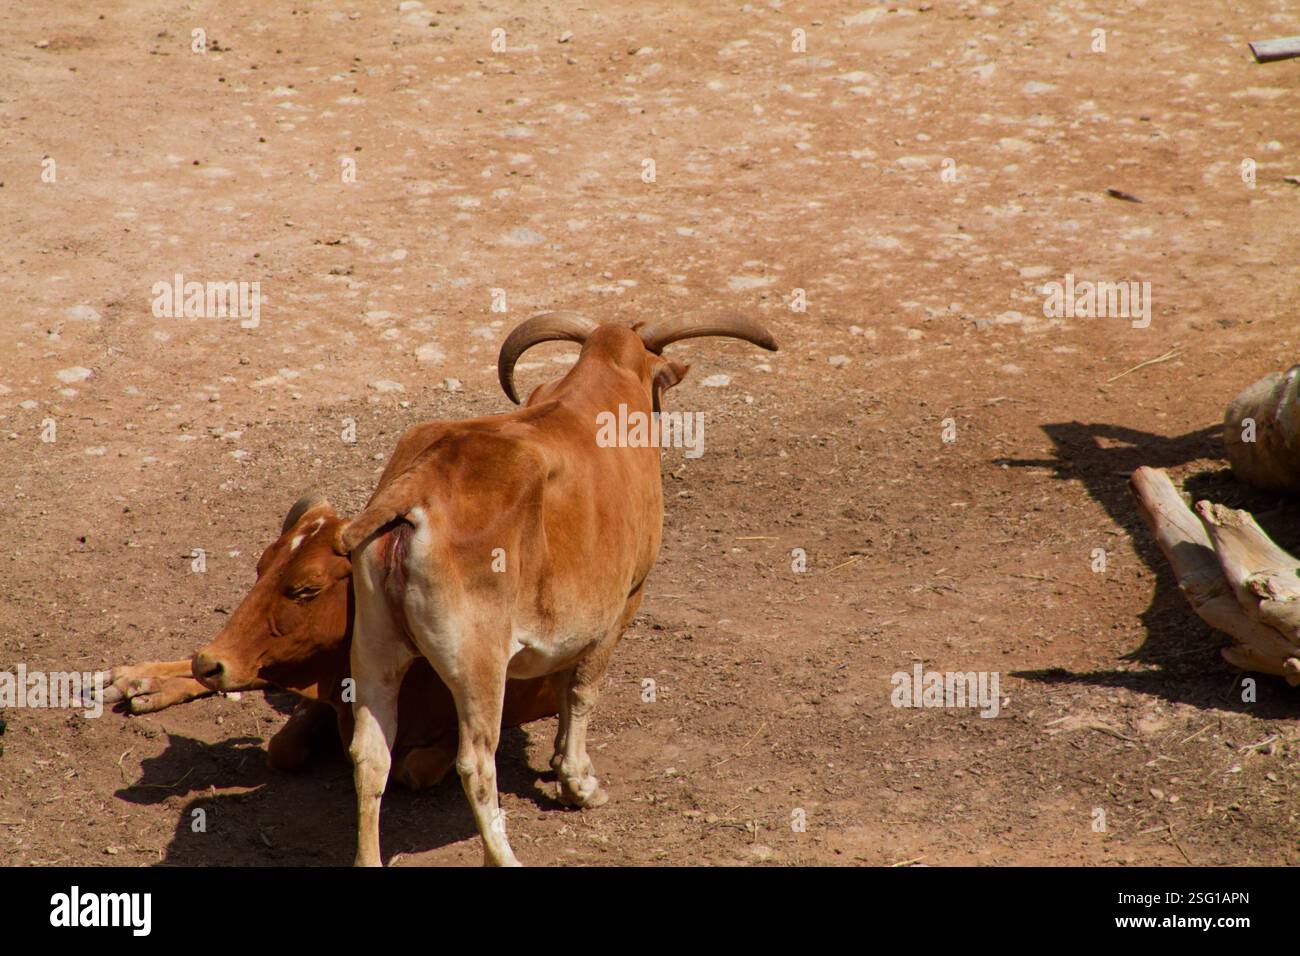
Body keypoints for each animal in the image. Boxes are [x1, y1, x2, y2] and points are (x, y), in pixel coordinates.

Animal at [102, 493, 557, 789]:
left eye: (306, 589)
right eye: (260, 569)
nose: (209, 662)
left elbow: (419, 767)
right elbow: (283, 746)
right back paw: (139, 679)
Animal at [339, 311, 778, 866]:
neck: (601, 387)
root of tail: (416, 492)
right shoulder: (621, 605)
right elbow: (581, 690)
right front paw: (579, 783)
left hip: (374, 647)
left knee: (371, 754)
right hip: (478, 663)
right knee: (475, 763)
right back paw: (505, 855)